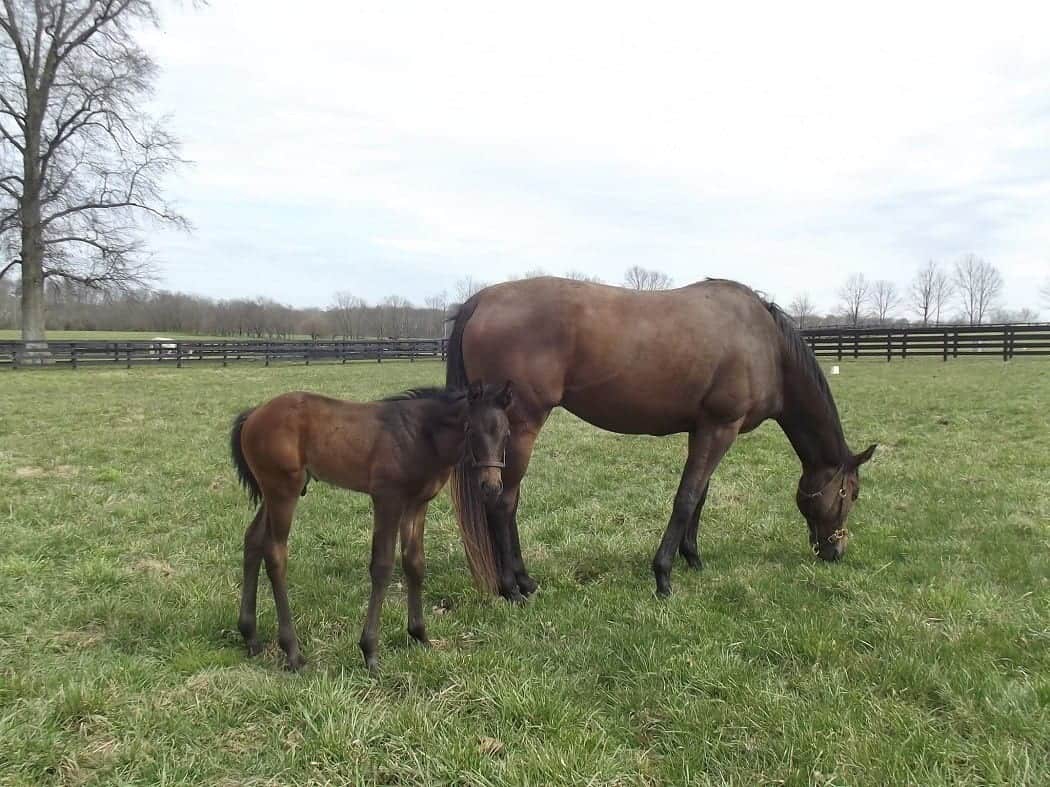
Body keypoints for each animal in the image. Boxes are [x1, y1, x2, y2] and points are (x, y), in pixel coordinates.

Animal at [229, 381, 513, 671]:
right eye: (471, 430)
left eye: (507, 433)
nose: (491, 486)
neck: (421, 436)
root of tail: (253, 414)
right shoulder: (387, 499)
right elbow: (382, 567)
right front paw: (370, 651)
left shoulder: (417, 504)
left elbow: (415, 563)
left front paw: (419, 635)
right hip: (283, 491)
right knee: (275, 553)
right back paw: (293, 652)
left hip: (272, 493)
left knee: (253, 540)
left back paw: (250, 636)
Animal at [446, 277, 876, 600]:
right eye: (852, 494)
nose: (835, 551)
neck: (765, 344)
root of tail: (481, 300)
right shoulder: (721, 427)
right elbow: (686, 498)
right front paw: (663, 575)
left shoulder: (703, 429)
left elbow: (699, 495)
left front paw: (693, 559)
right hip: (520, 428)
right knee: (502, 503)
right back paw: (512, 588)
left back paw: (525, 581)